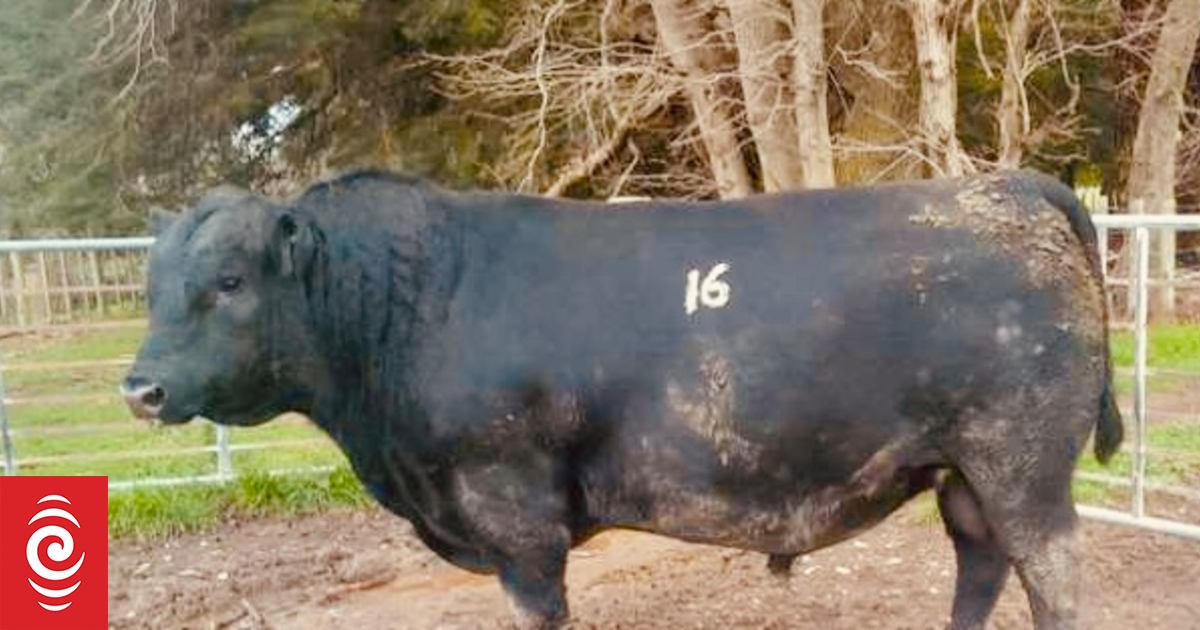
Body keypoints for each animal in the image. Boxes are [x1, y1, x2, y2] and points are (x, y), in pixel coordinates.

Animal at [121, 168, 1122, 630]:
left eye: (230, 282)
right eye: (152, 284)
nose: (140, 387)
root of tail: (1006, 184)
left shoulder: (517, 520)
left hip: (1025, 468)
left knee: (1051, 581)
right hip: (964, 474)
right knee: (980, 566)